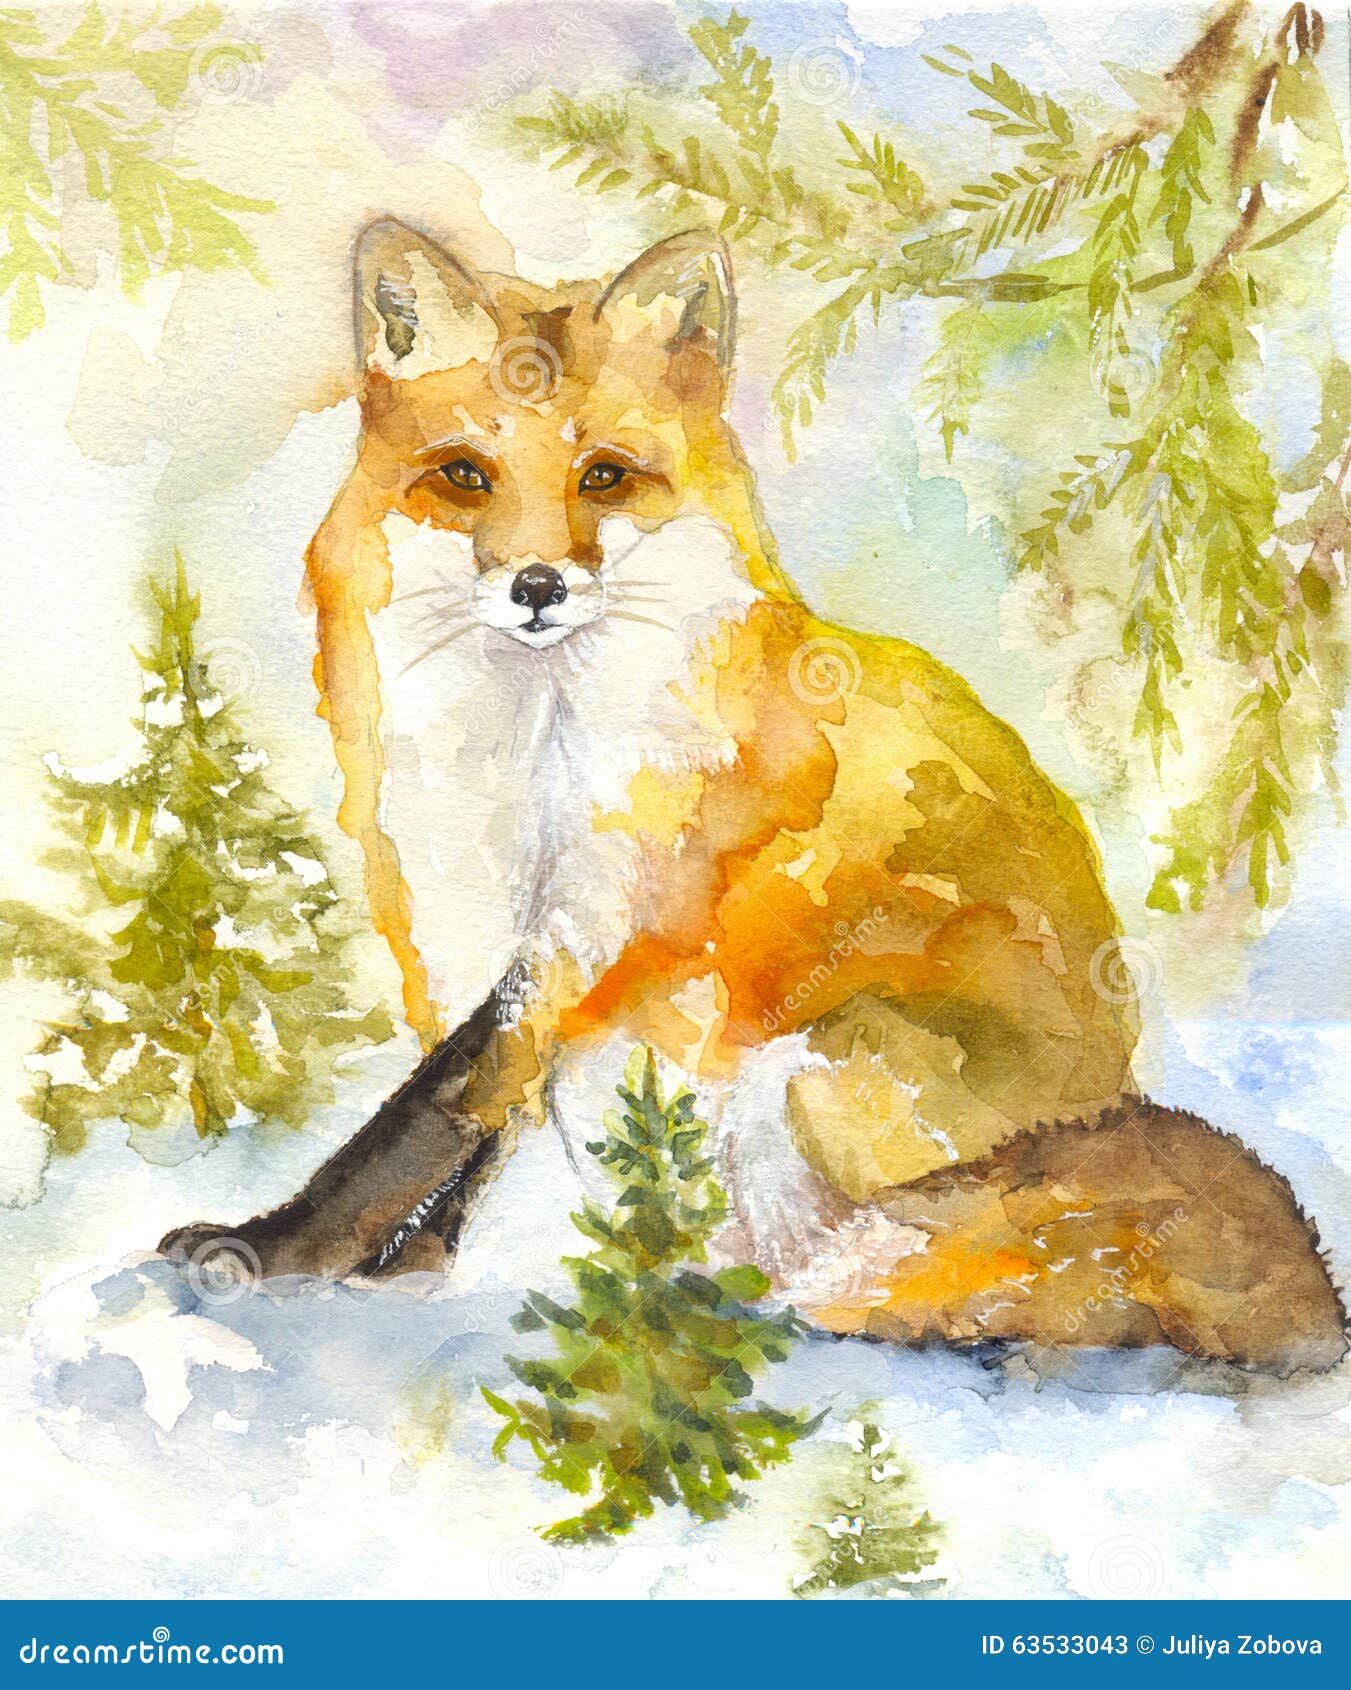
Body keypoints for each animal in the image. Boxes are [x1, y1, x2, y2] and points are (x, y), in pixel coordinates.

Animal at [162, 218, 1346, 1376]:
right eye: (464, 475)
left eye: (603, 477)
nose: (537, 586)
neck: (530, 740)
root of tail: (1117, 1098)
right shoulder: (450, 917)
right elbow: (462, 1125)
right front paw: (405, 1268)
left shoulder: (597, 914)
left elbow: (426, 1113)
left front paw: (276, 1255)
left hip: (799, 1074)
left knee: (860, 1286)